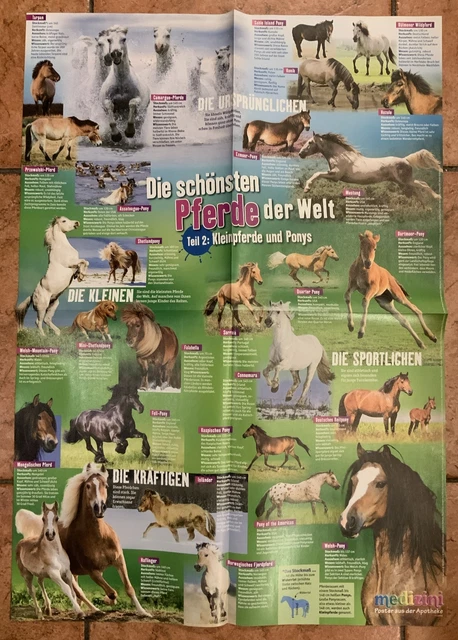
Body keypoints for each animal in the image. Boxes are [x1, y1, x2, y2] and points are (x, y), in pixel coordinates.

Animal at [16, 463, 151, 617]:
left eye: (106, 485)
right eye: (88, 486)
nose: (99, 508)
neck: (98, 537)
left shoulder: (119, 561)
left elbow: (128, 588)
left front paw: (144, 613)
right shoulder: (92, 571)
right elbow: (111, 592)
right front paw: (108, 600)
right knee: (76, 591)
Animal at [298, 132, 442, 204]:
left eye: (310, 142)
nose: (300, 153)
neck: (339, 155)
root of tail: (405, 159)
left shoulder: (335, 175)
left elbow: (317, 174)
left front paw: (307, 188)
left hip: (405, 180)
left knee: (423, 184)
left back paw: (437, 197)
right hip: (403, 182)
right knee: (417, 190)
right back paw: (427, 208)